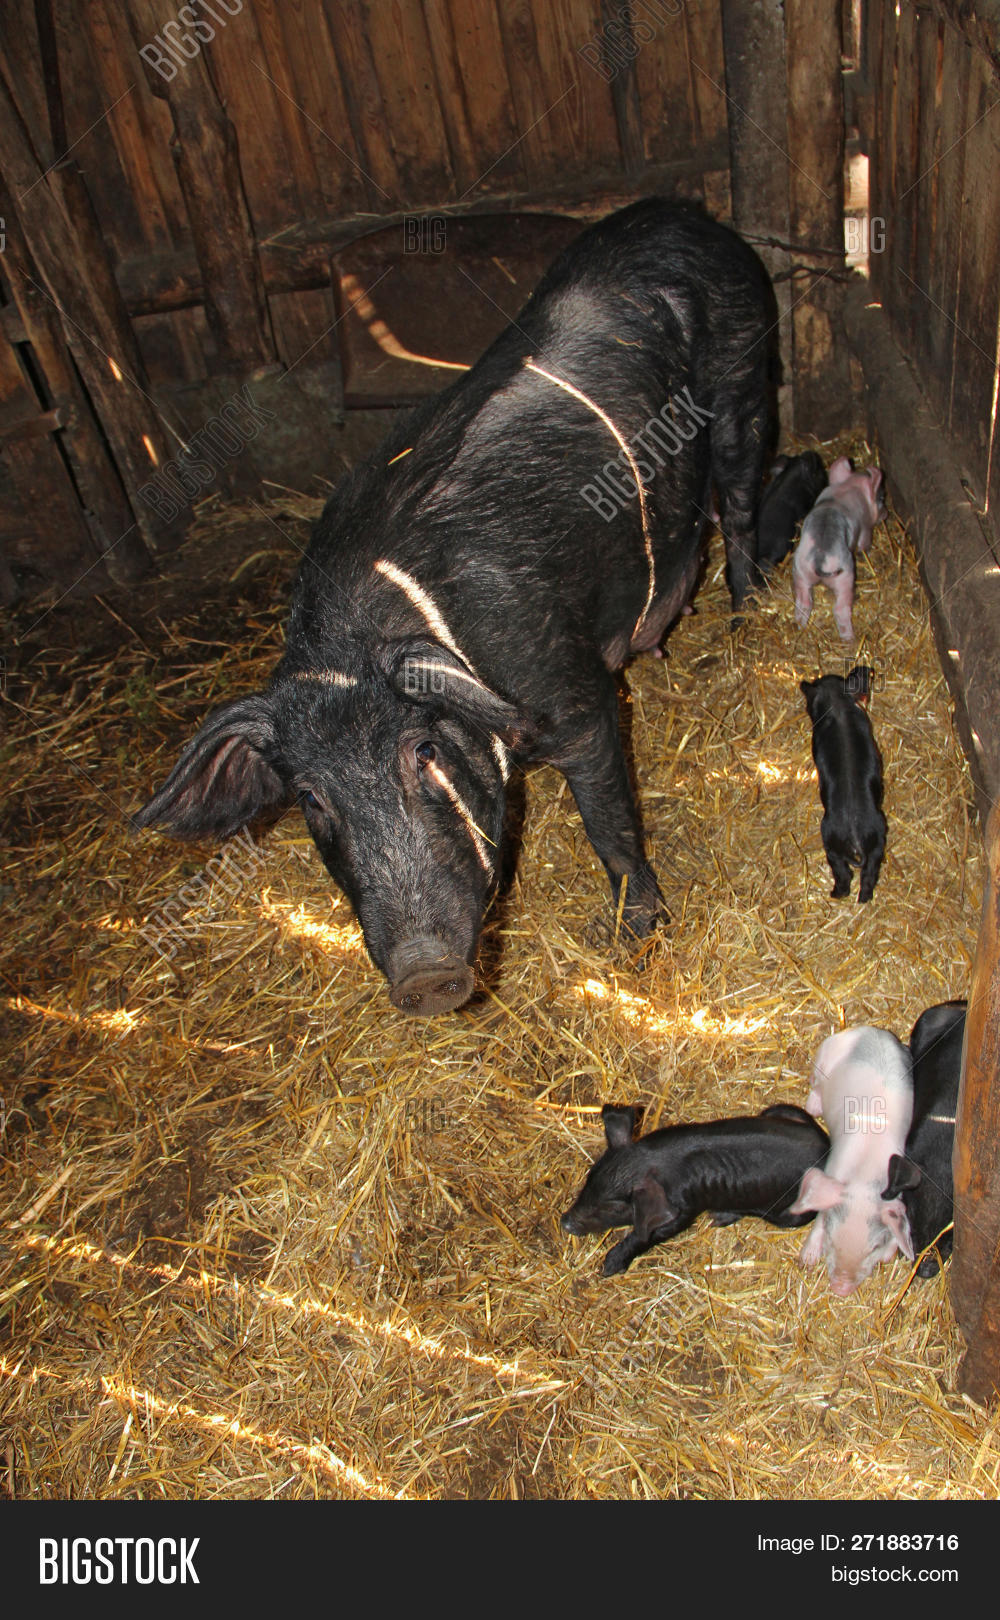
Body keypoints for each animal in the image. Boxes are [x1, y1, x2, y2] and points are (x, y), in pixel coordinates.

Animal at [135, 199, 776, 1015]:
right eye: (310, 797)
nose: (424, 974)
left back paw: (749, 621)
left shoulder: (576, 696)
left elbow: (611, 824)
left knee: (743, 504)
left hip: (745, 383)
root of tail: (681, 212)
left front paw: (637, 943)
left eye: (424, 751)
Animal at [560, 1102, 829, 1276]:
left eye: (615, 1208)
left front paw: (608, 1268)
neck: (651, 1164)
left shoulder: (682, 1211)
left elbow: (645, 1236)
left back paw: (718, 1217)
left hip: (790, 1213)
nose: (565, 1223)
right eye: (590, 1177)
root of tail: (826, 1148)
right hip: (779, 1110)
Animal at [789, 1026, 914, 1295]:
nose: (841, 1288)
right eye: (832, 1238)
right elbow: (819, 1216)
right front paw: (807, 1260)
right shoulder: (833, 1170)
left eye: (874, 1247)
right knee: (815, 1086)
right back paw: (813, 1107)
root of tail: (870, 1030)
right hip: (822, 1058)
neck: (864, 1177)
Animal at [792, 456, 886, 640]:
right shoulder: (865, 525)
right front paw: (866, 553)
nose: (886, 514)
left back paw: (799, 627)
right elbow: (865, 542)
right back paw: (850, 639)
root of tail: (819, 560)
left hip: (800, 571)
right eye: (881, 498)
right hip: (845, 576)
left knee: (804, 602)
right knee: (840, 609)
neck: (848, 487)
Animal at [801, 665, 886, 903]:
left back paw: (835, 894)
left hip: (830, 841)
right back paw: (864, 899)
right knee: (869, 875)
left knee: (844, 875)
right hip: (877, 842)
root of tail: (855, 835)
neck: (837, 703)